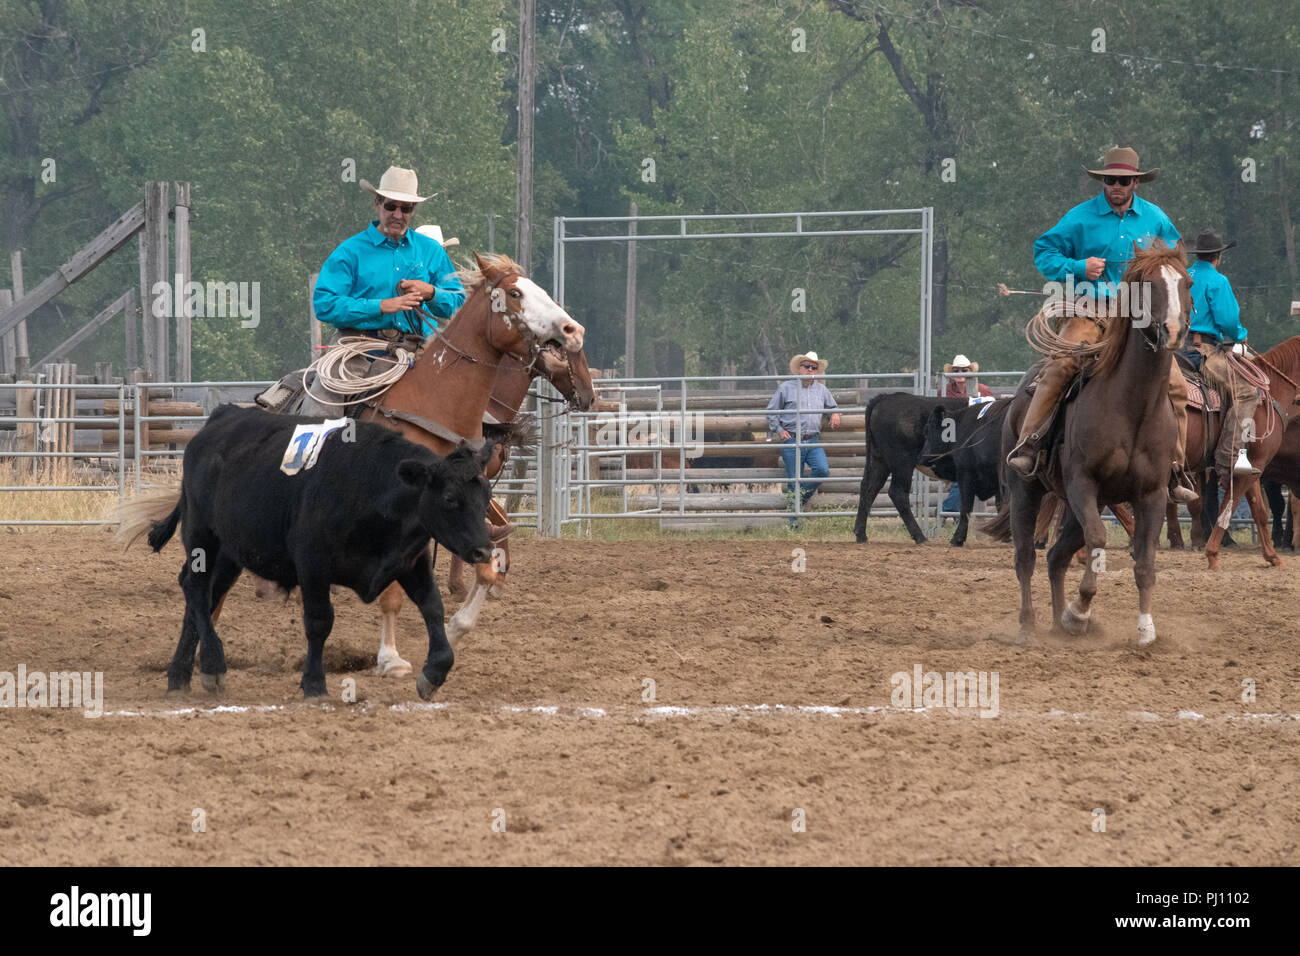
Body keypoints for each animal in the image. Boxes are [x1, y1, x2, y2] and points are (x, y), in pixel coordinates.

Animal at [121, 405, 494, 701]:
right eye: (450, 499)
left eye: (486, 496)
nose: (484, 550)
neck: (372, 485)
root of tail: (223, 416)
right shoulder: (312, 562)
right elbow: (319, 621)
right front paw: (314, 684)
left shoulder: (409, 562)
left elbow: (433, 607)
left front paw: (435, 672)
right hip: (201, 533)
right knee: (196, 590)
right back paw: (213, 664)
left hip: (231, 551)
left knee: (201, 597)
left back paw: (179, 676)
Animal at [853, 392, 967, 544]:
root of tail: (886, 397)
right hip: (902, 462)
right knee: (897, 492)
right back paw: (920, 536)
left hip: (878, 459)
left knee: (869, 489)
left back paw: (861, 535)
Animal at [917, 398, 1009, 546]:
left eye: (927, 431)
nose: (920, 457)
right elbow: (1001, 505)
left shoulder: (966, 475)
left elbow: (965, 506)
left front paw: (957, 538)